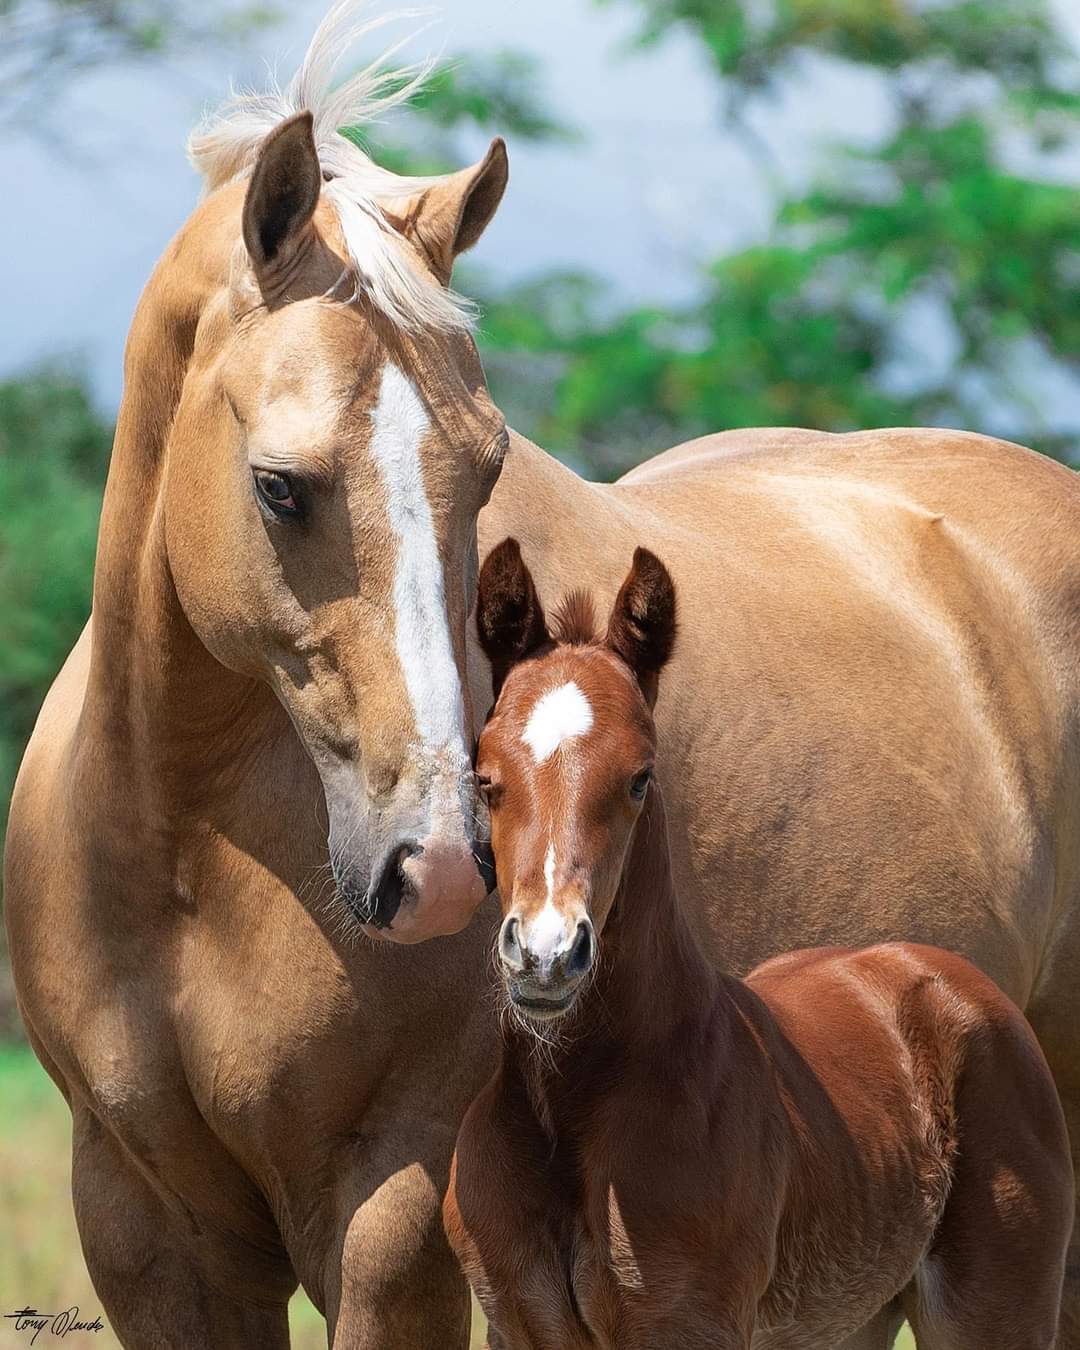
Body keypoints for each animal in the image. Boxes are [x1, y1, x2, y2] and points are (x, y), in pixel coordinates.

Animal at [446, 538, 1073, 1350]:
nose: (547, 954)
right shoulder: (516, 1324)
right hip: (851, 1318)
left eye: (640, 779)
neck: (571, 1112)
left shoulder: (689, 1323)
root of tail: (948, 978)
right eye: (485, 778)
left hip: (995, 1308)